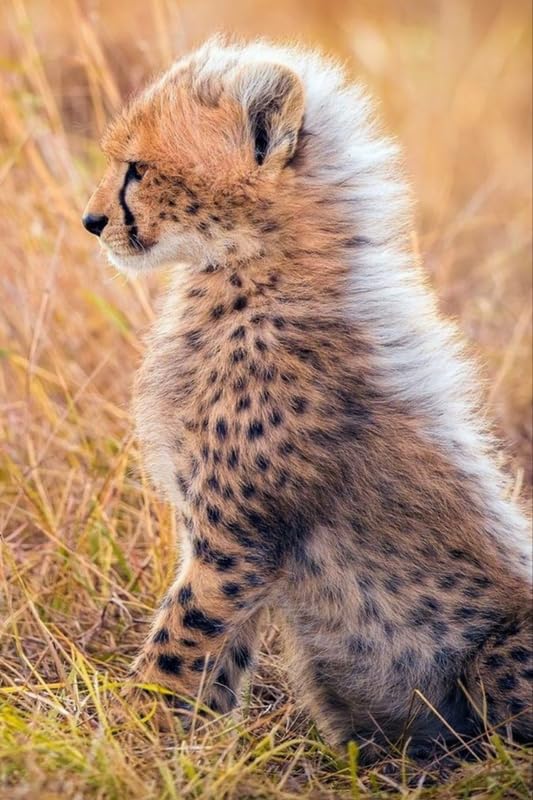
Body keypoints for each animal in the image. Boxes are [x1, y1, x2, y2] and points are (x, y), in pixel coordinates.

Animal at [82, 37, 532, 768]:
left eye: (137, 170)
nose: (91, 222)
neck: (250, 271)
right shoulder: (231, 546)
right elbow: (217, 654)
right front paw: (190, 752)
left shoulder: (235, 538)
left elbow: (178, 642)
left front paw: (126, 742)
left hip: (496, 656)